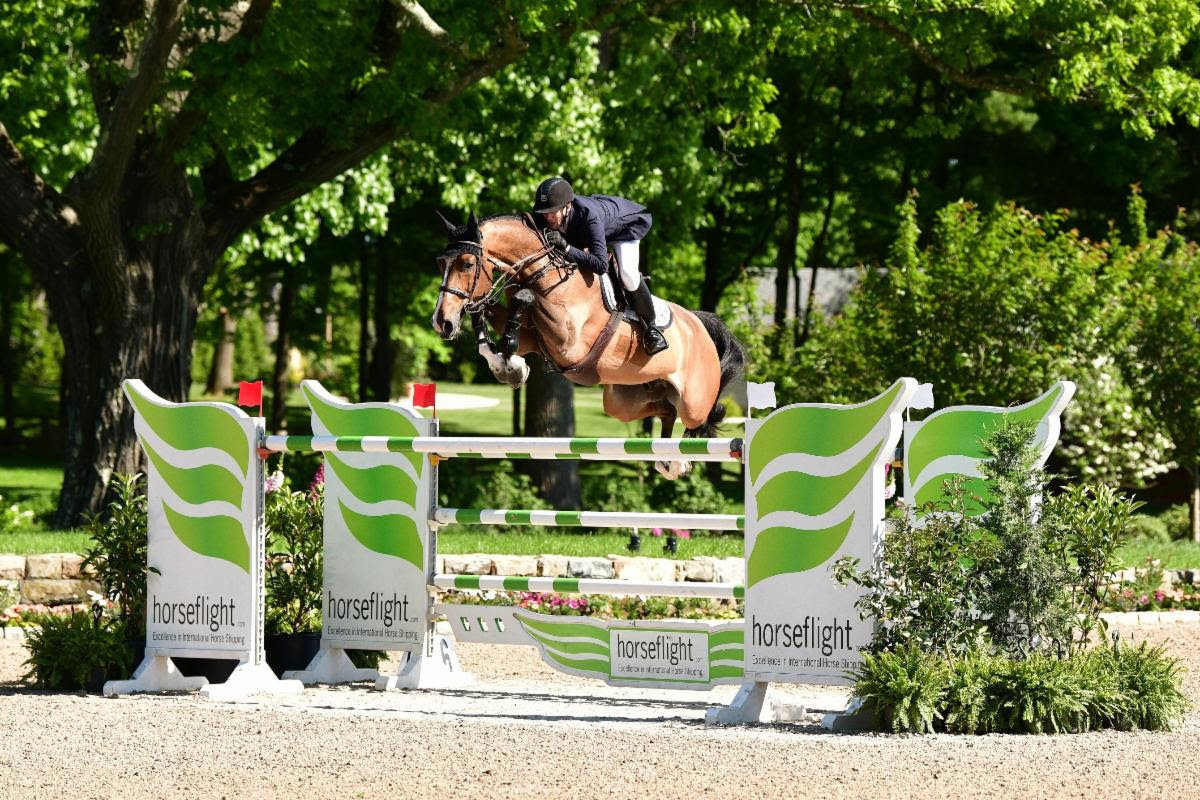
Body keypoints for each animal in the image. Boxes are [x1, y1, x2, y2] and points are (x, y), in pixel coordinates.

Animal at [431, 212, 745, 479]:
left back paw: (680, 462)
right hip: (624, 401)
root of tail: (699, 324)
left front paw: (510, 357)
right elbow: (490, 322)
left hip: (693, 400)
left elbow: (524, 299)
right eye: (441, 264)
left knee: (702, 418)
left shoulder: (569, 341)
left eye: (467, 264)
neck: (544, 272)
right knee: (666, 410)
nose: (441, 322)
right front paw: (509, 367)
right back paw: (667, 461)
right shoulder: (536, 339)